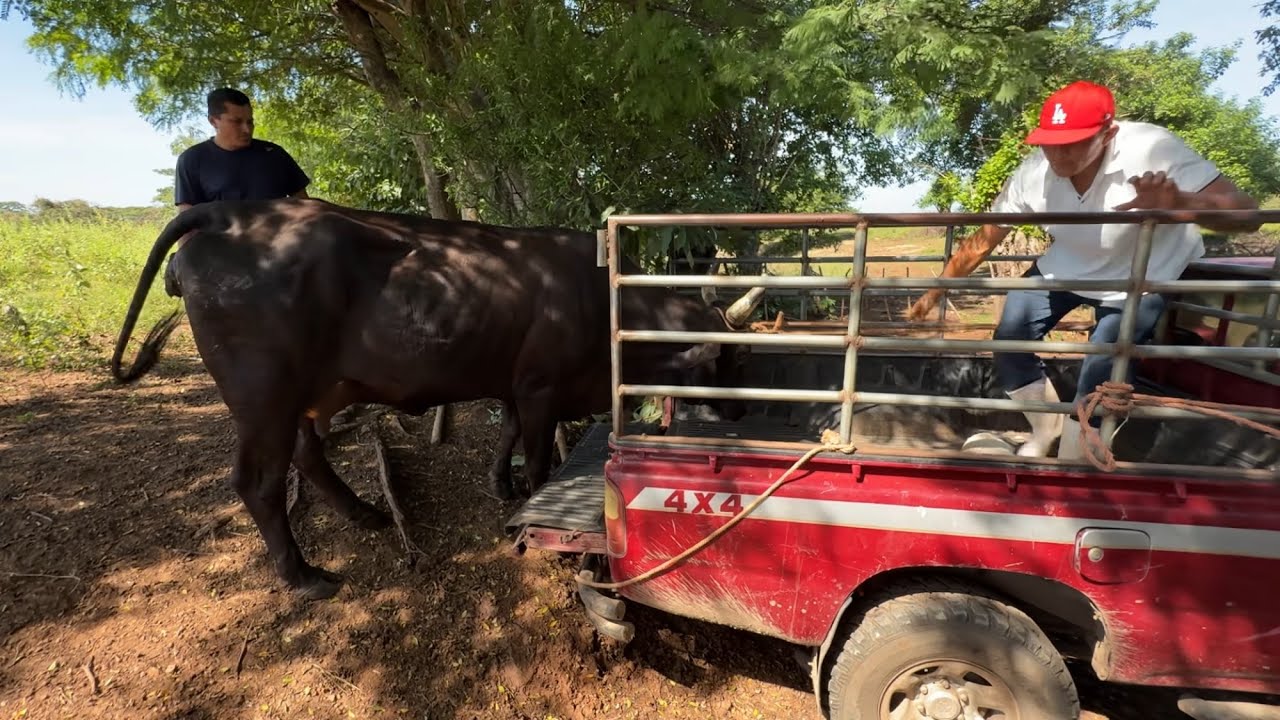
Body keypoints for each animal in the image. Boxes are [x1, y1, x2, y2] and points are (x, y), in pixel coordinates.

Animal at [110, 198, 764, 600]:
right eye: (733, 359)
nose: (743, 409)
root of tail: (232, 213)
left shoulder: (515, 382)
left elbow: (506, 434)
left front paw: (500, 483)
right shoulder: (540, 387)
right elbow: (538, 457)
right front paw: (528, 508)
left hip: (301, 392)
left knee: (307, 454)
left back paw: (364, 513)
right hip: (261, 394)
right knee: (258, 482)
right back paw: (303, 576)